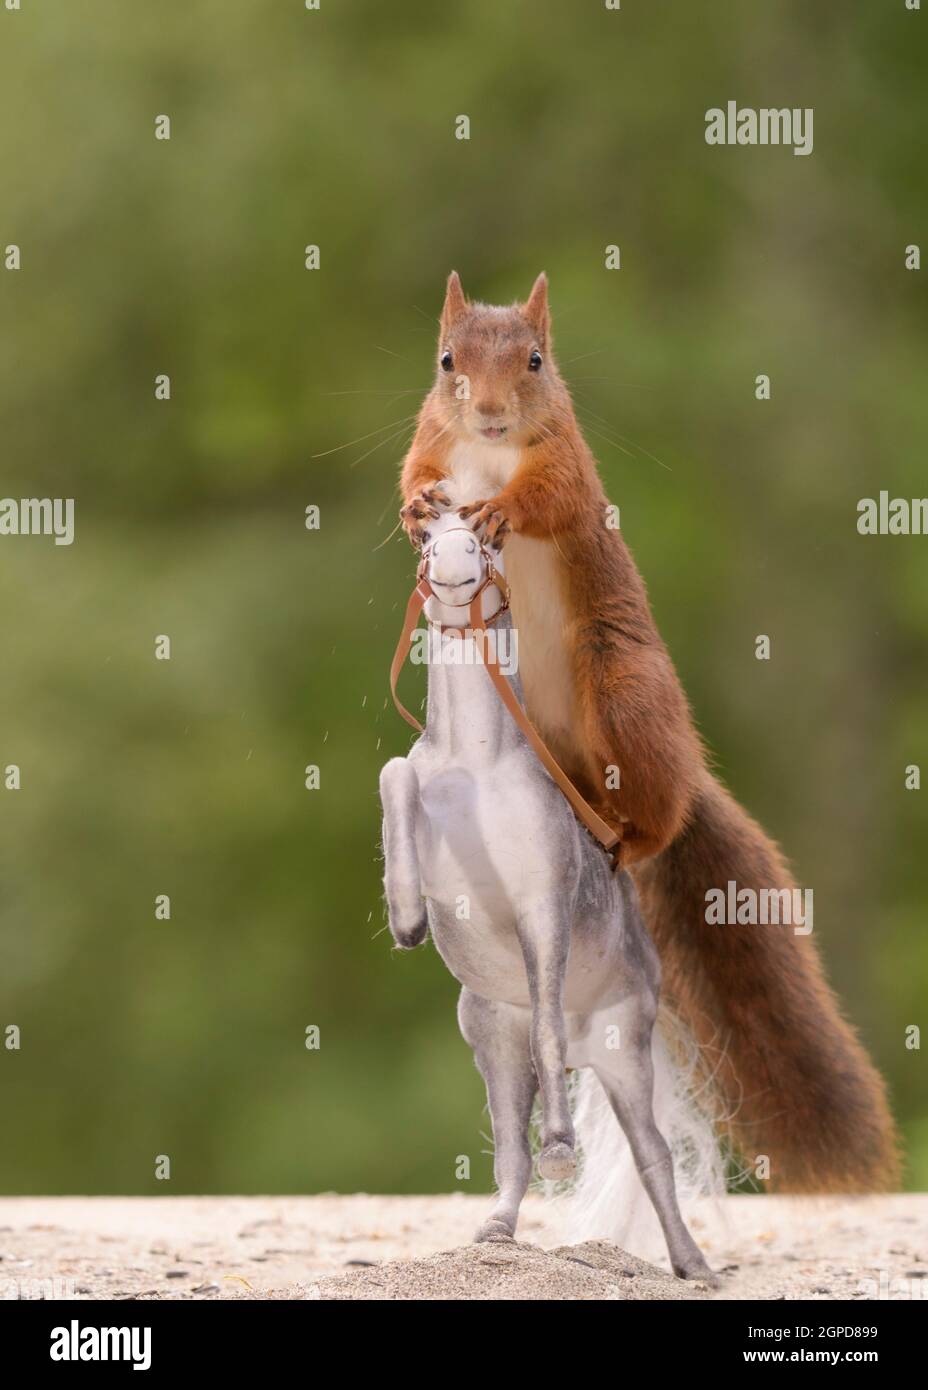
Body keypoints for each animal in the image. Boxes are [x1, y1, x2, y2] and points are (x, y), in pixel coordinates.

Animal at [380, 507, 717, 1281]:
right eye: (423, 535)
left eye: (487, 536)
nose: (452, 559)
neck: (477, 765)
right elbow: (394, 776)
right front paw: (406, 919)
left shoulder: (542, 909)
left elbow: (547, 1020)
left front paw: (566, 1148)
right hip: (492, 1042)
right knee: (511, 1149)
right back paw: (496, 1231)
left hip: (625, 1054)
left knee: (652, 1156)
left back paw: (693, 1265)